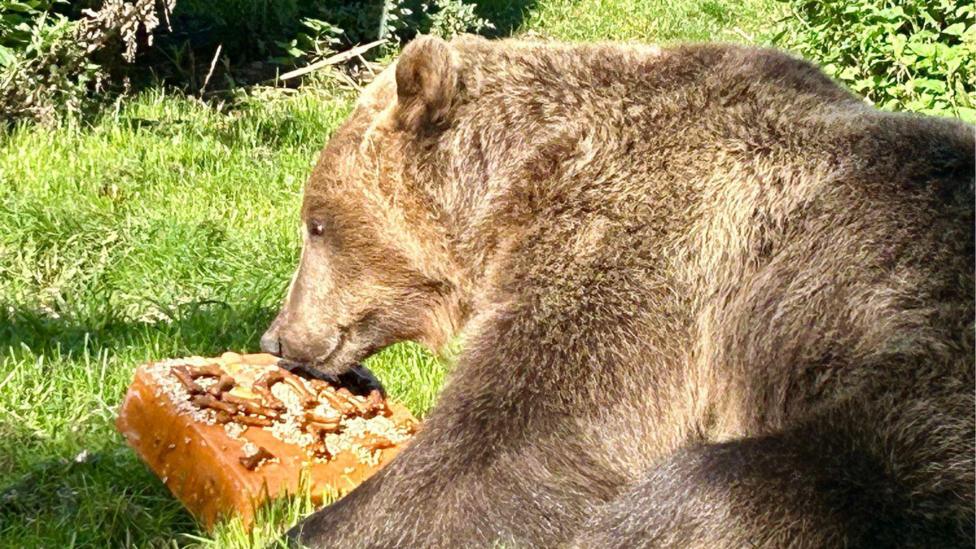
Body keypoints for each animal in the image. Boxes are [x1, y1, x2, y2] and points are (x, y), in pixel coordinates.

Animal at [259, 35, 975, 547]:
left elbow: (525, 434)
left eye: (316, 223)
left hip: (913, 393)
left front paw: (316, 526)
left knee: (724, 495)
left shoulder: (647, 245)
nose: (277, 337)